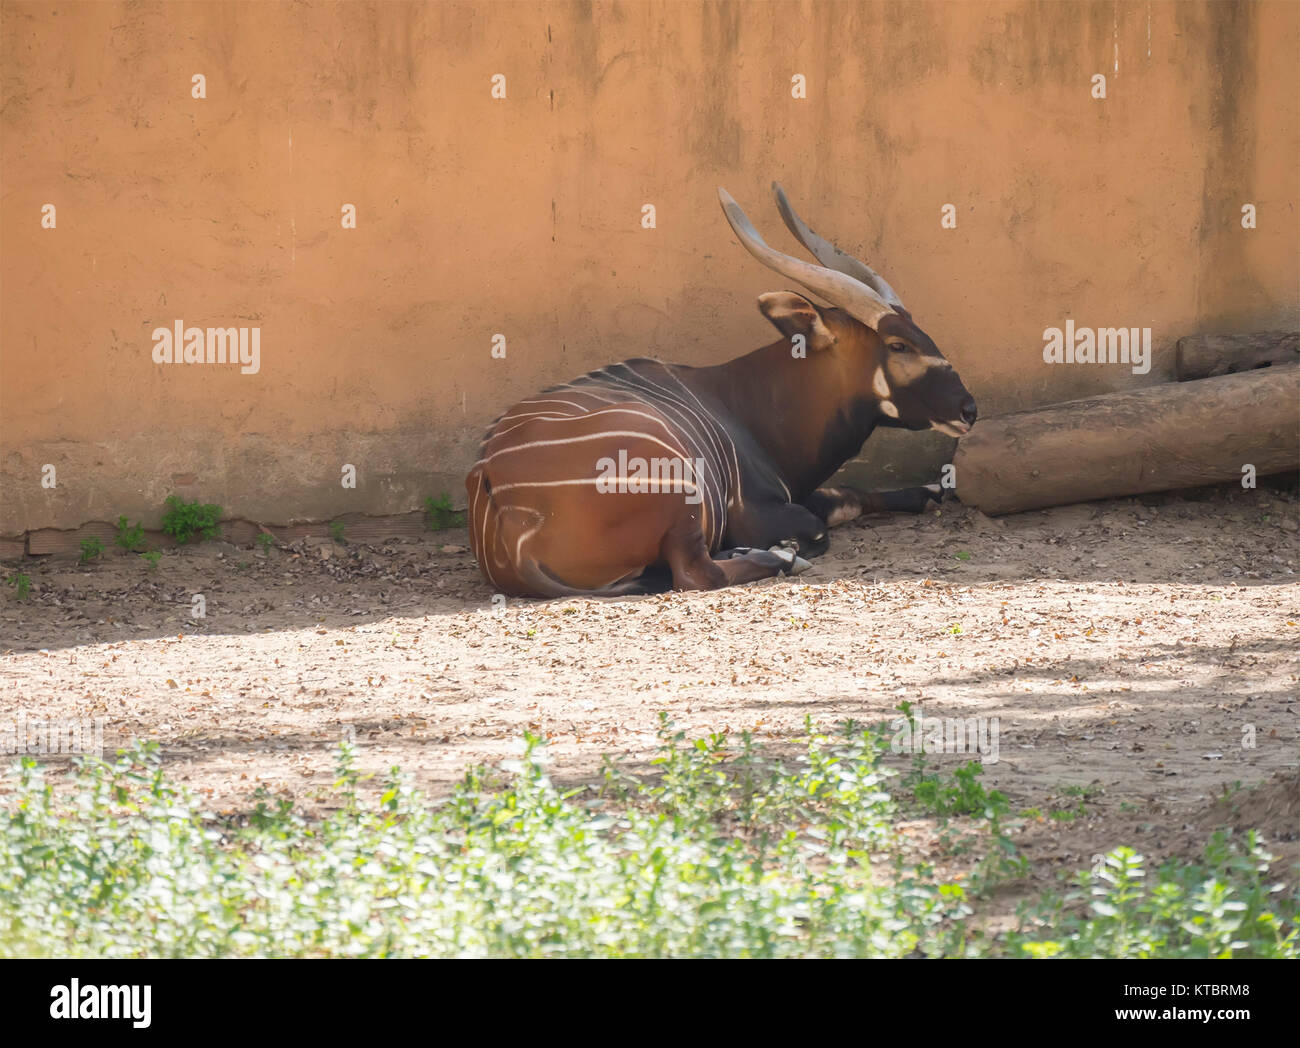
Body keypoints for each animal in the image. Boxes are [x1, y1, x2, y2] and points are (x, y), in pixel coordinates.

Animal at [466, 183, 977, 597]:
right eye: (898, 344)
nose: (968, 408)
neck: (745, 403)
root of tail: (499, 494)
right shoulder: (758, 511)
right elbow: (817, 524)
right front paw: (781, 547)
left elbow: (847, 494)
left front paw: (933, 489)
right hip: (682, 499)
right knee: (696, 574)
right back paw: (776, 557)